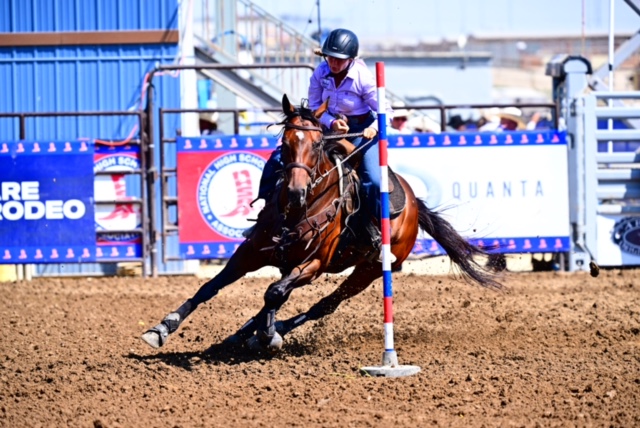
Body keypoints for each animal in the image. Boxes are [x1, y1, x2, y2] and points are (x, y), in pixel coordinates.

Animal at [141, 94, 501, 353]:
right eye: (285, 143)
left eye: (315, 144)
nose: (296, 191)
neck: (297, 211)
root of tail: (413, 203)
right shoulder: (251, 251)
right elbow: (212, 286)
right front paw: (162, 327)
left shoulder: (314, 264)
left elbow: (274, 293)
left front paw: (269, 335)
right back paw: (243, 335)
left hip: (368, 271)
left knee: (321, 306)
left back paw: (268, 332)